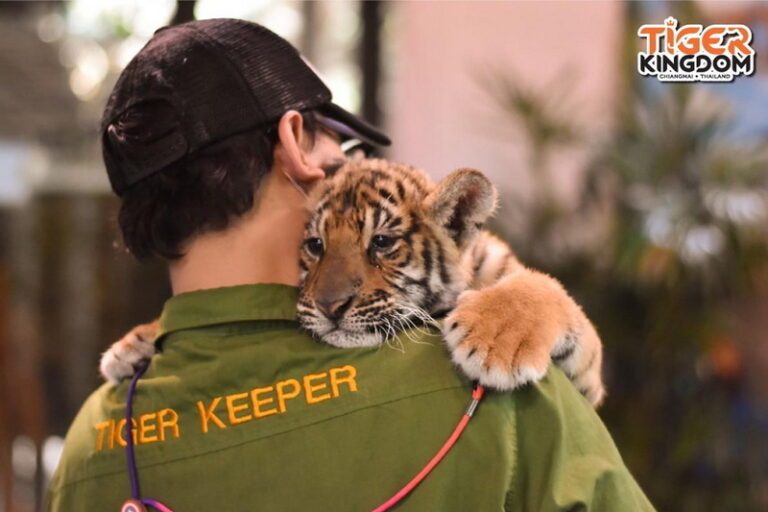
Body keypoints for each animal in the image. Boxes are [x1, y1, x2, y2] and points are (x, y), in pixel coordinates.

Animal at [101, 159, 605, 406]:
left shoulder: (588, 382)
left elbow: (541, 286)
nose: (330, 306)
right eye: (316, 245)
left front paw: (496, 342)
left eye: (381, 242)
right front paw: (130, 345)